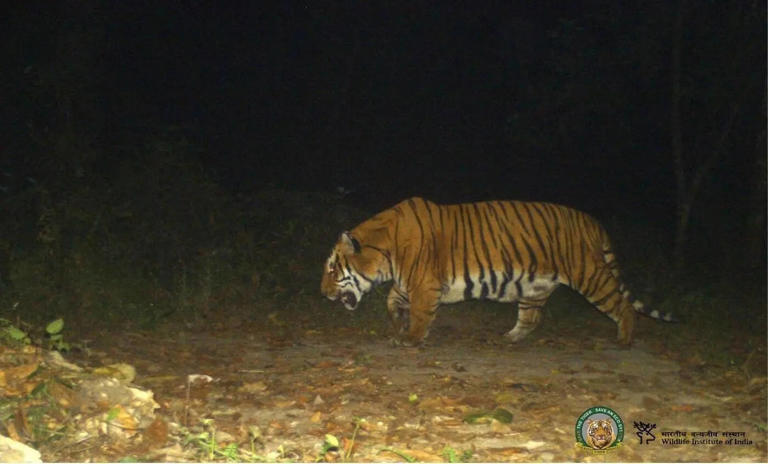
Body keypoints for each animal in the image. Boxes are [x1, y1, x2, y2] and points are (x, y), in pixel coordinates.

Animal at [320, 197, 674, 347]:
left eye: (332, 268)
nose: (323, 294)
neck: (385, 251)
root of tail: (592, 220)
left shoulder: (424, 284)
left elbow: (420, 315)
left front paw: (410, 338)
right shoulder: (410, 282)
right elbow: (392, 301)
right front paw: (398, 324)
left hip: (589, 275)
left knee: (623, 306)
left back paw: (624, 340)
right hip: (535, 286)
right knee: (531, 318)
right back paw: (509, 338)